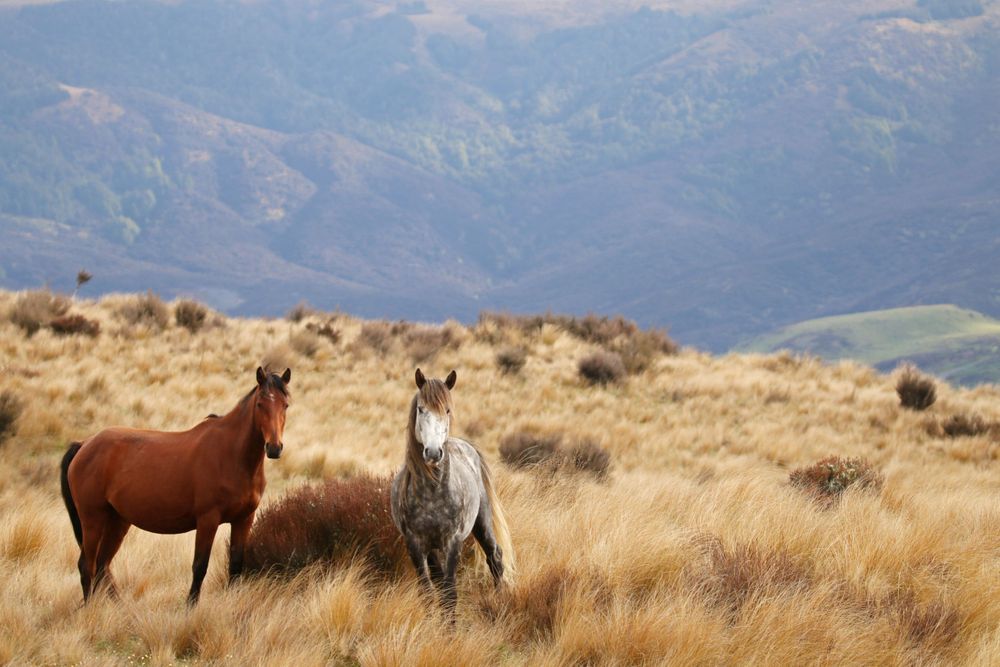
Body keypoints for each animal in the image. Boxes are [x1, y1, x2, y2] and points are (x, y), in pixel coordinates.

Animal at [59, 366, 291, 604]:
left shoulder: (244, 519)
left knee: (102, 565)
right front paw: (190, 606)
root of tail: (84, 444)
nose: (274, 448)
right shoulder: (208, 520)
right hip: (93, 520)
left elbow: (235, 566)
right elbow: (200, 566)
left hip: (117, 521)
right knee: (87, 565)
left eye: (285, 405)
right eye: (260, 404)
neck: (233, 456)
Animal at [390, 368, 515, 611]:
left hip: (482, 523)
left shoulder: (452, 542)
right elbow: (428, 592)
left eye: (447, 410)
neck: (432, 495)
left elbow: (449, 595)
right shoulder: (415, 545)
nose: (433, 452)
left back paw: (500, 599)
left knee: (495, 556)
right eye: (421, 409)